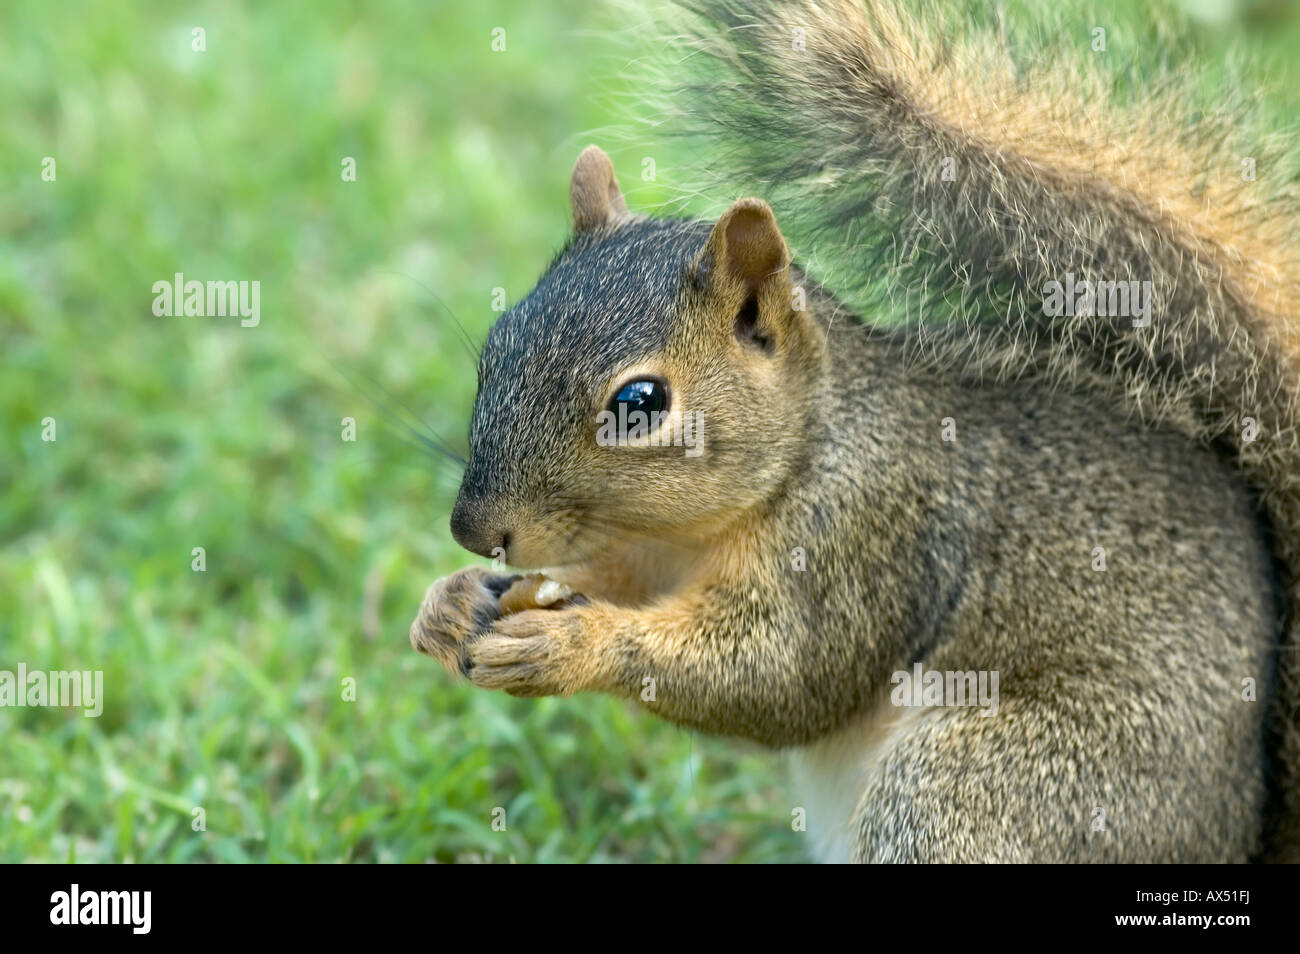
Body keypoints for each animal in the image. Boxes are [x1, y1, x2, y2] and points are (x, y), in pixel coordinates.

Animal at [411, 0, 1300, 862]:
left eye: (640, 402)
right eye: (496, 344)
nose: (473, 530)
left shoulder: (867, 533)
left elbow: (781, 680)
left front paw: (574, 644)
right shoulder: (650, 548)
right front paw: (451, 603)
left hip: (979, 789)